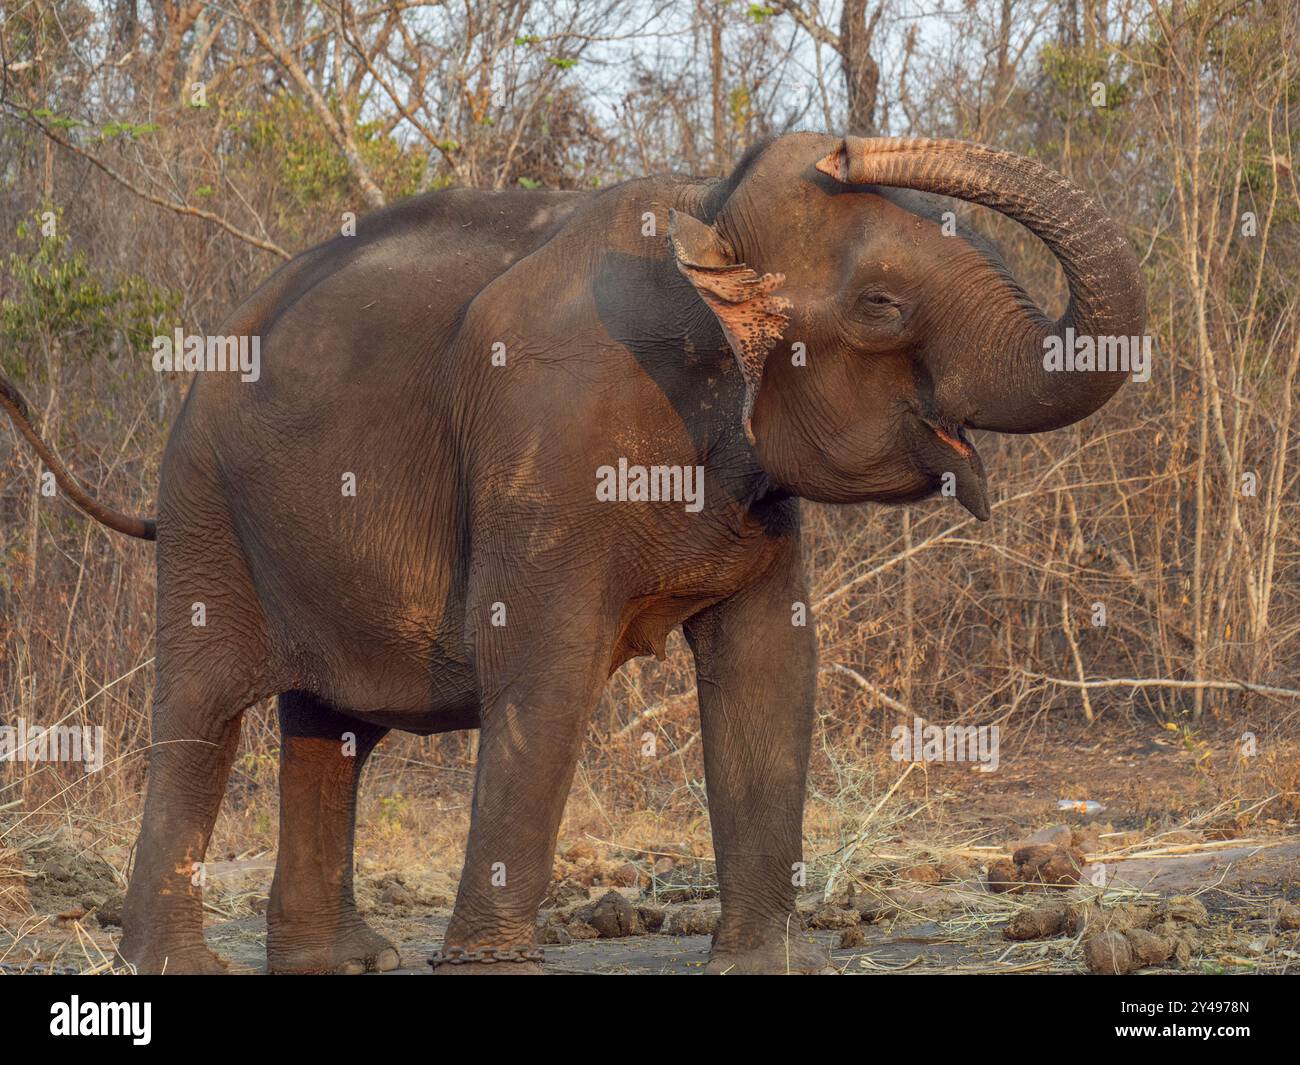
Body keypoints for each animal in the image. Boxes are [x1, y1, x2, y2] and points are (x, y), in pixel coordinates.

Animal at [0, 133, 1144, 974]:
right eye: (881, 307)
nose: (845, 142)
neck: (706, 207)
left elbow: (772, 671)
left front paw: (758, 967)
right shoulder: (548, 439)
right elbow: (544, 673)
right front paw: (493, 970)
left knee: (331, 729)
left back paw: (342, 961)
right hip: (205, 508)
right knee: (201, 714)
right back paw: (180, 967)